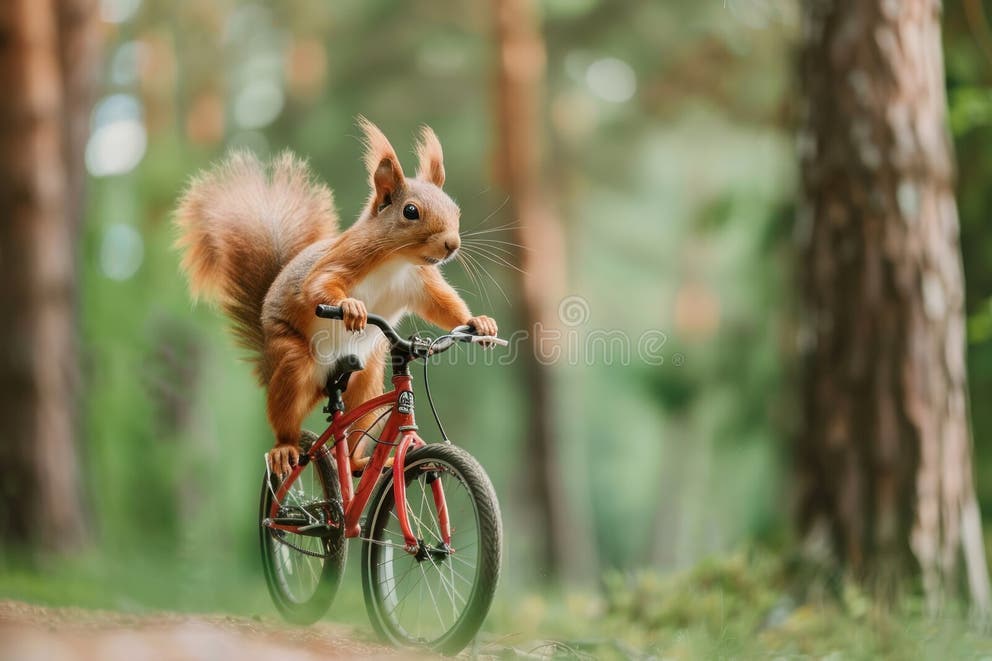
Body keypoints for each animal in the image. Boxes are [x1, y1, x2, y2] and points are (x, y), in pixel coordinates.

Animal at [174, 117, 498, 477]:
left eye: (456, 209)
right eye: (410, 211)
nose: (452, 245)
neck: (398, 260)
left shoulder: (422, 281)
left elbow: (442, 304)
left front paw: (479, 323)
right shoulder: (347, 257)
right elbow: (318, 283)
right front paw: (350, 307)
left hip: (366, 374)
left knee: (356, 425)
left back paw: (362, 462)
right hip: (292, 359)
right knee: (288, 413)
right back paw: (285, 447)